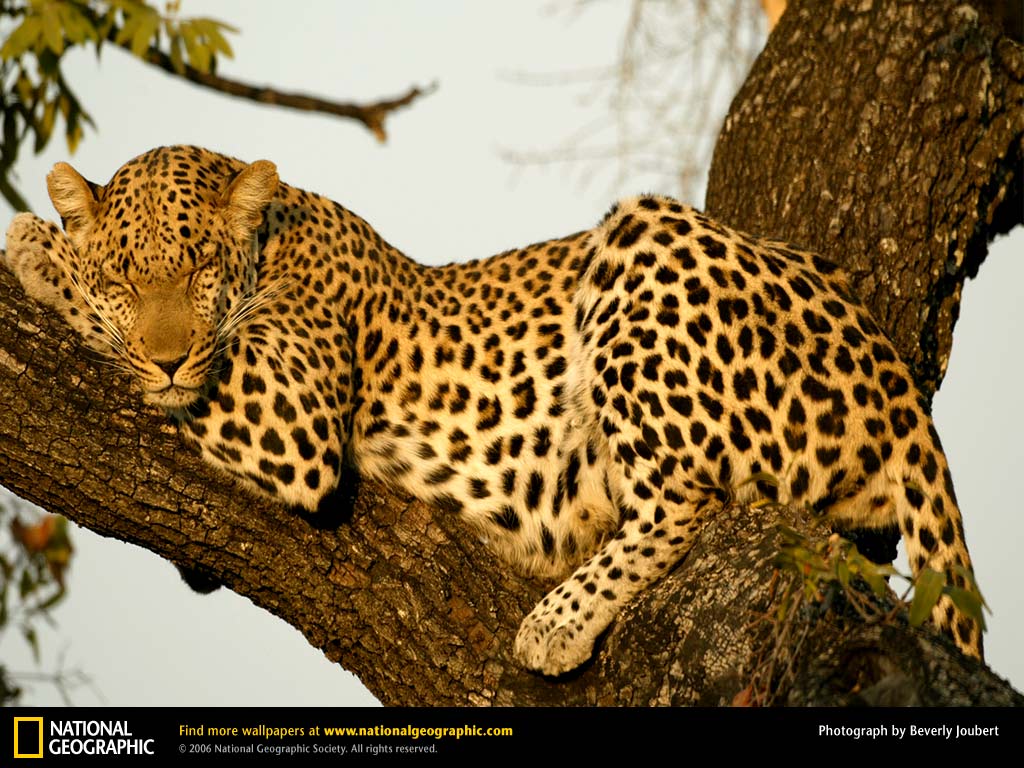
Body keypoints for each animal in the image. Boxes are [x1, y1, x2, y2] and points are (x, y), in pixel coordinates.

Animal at [3, 145, 982, 676]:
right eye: (127, 276)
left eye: (201, 266)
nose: (167, 358)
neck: (279, 234)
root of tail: (892, 373)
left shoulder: (296, 415)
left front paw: (35, 248)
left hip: (641, 238)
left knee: (682, 500)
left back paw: (556, 622)